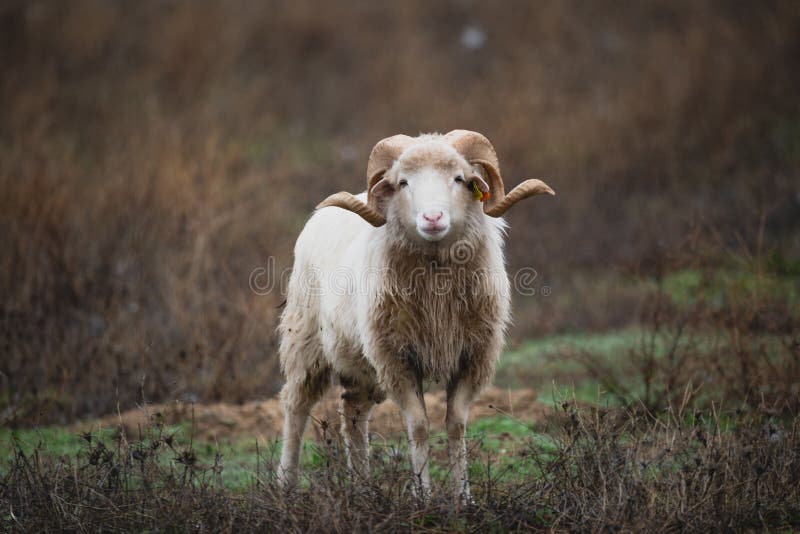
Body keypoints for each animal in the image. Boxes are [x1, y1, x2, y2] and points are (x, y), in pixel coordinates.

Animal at [277, 130, 554, 502]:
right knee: (296, 407)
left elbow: (456, 425)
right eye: (403, 182)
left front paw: (463, 498)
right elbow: (419, 426)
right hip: (305, 342)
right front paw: (423, 497)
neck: (436, 291)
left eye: (460, 178)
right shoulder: (398, 361)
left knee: (353, 413)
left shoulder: (472, 358)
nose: (432, 218)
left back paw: (362, 487)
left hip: (361, 364)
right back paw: (285, 486)